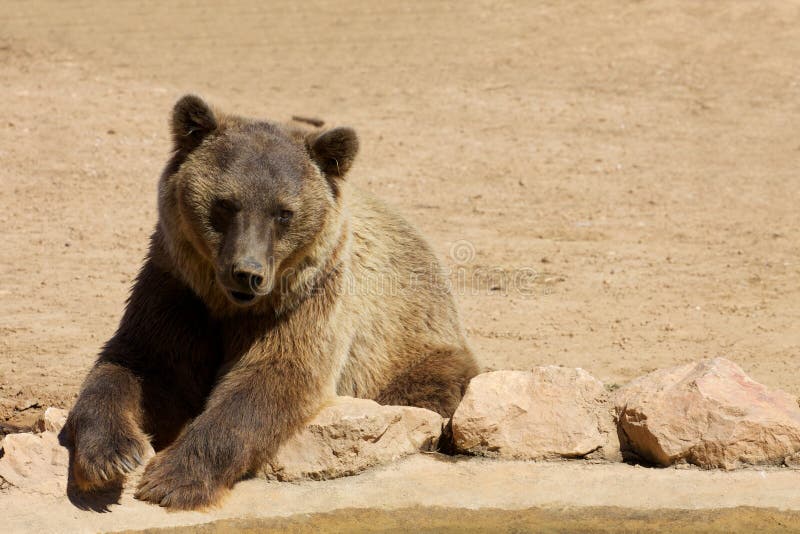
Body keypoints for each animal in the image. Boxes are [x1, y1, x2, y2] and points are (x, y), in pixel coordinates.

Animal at [64, 95, 479, 510]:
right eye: (225, 204)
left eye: (284, 212)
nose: (246, 272)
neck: (229, 307)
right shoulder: (178, 292)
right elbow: (138, 366)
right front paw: (112, 456)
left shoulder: (305, 301)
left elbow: (269, 380)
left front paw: (173, 476)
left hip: (410, 351)